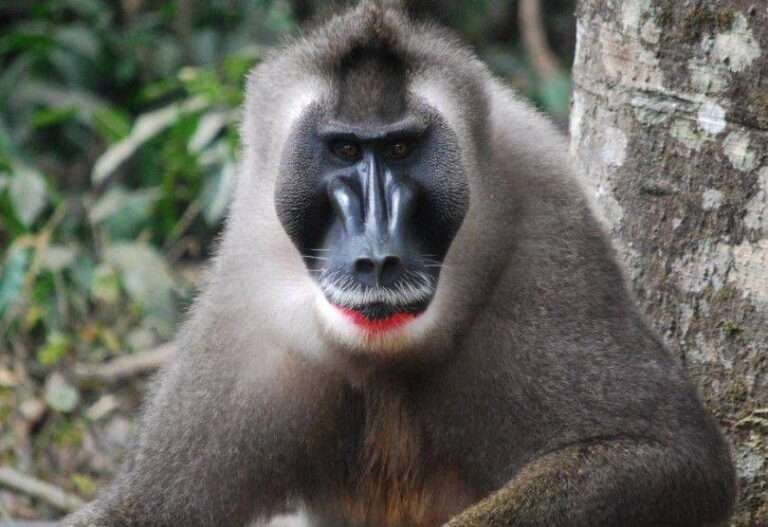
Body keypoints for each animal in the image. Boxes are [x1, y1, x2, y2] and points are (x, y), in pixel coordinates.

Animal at [63, 2, 736, 526]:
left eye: (402, 148)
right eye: (343, 149)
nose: (377, 258)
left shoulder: (546, 229)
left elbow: (667, 454)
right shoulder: (247, 308)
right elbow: (147, 508)